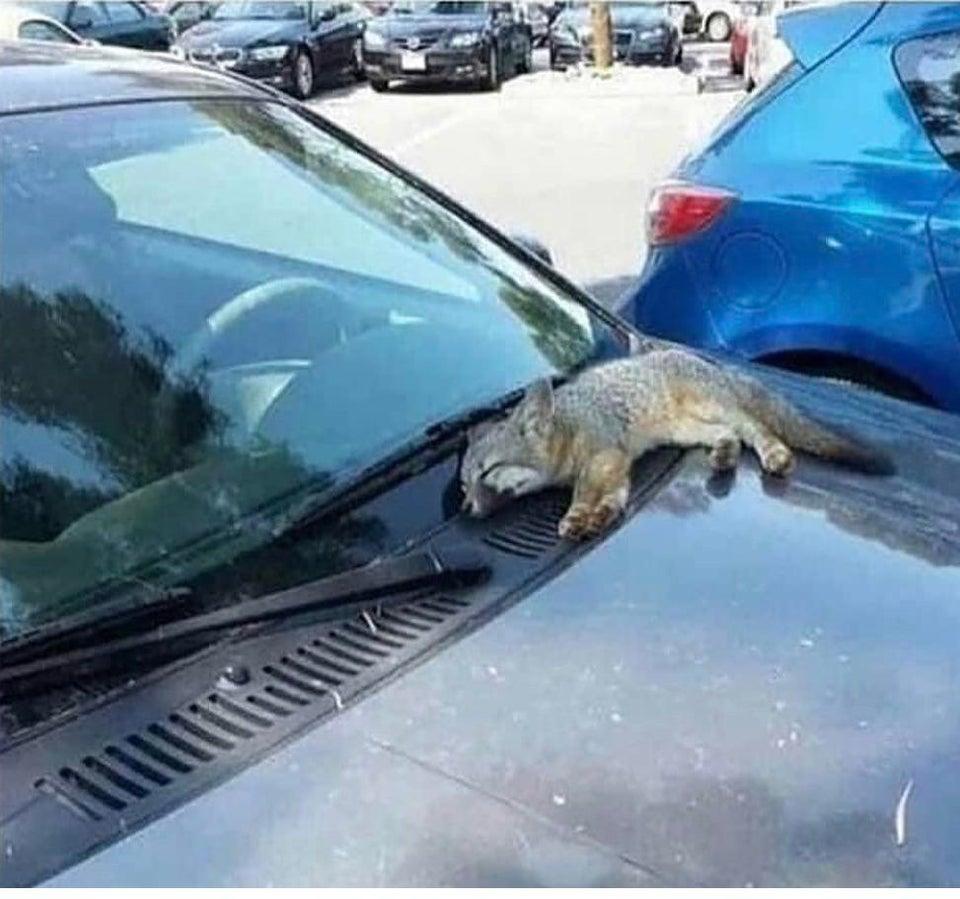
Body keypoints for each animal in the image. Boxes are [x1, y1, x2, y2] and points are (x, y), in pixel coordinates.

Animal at [460, 348, 894, 540]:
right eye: (464, 485)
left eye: (488, 471)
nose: (465, 509)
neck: (568, 425)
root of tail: (713, 363)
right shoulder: (617, 463)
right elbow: (615, 495)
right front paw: (603, 514)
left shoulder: (604, 455)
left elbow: (584, 492)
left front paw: (578, 516)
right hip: (685, 429)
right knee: (728, 434)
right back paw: (725, 455)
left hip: (711, 406)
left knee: (753, 427)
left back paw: (773, 453)